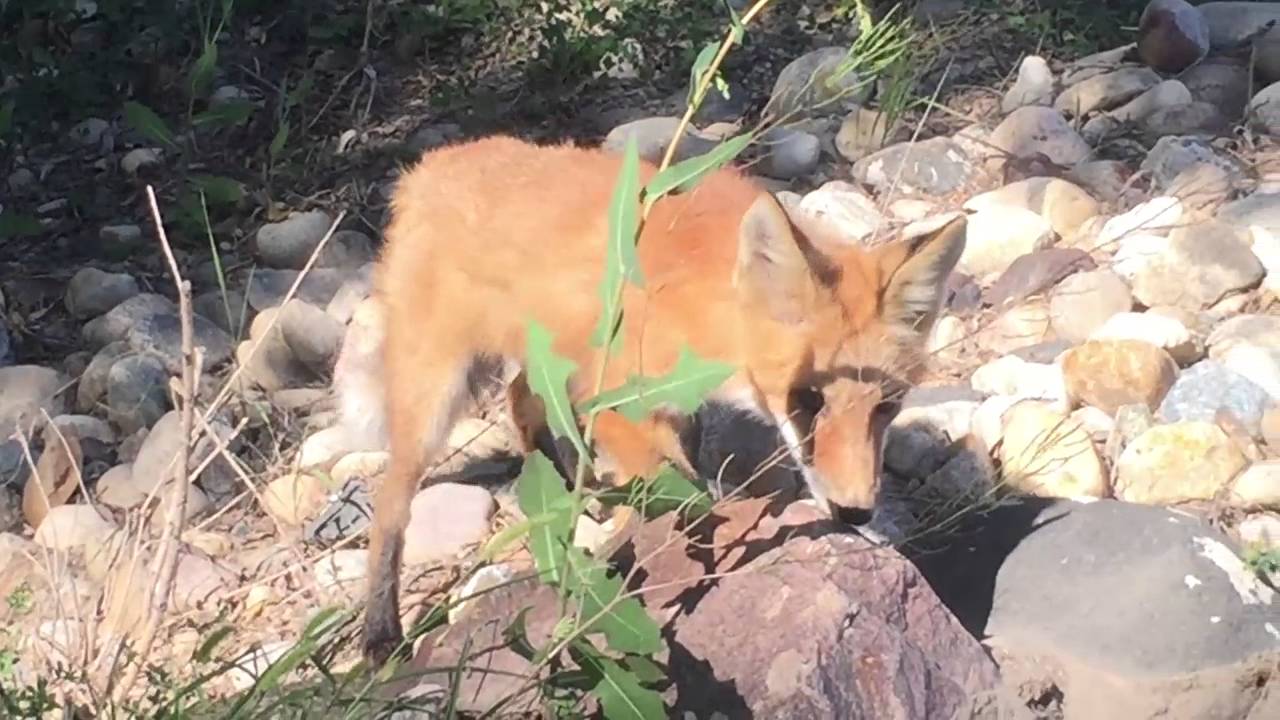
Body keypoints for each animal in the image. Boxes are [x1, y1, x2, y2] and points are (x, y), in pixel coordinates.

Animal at [353, 133, 967, 667]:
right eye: (808, 400)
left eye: (886, 407)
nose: (855, 512)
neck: (703, 304)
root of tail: (432, 164)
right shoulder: (613, 402)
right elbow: (679, 493)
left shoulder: (663, 406)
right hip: (434, 396)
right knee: (390, 503)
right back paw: (381, 633)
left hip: (544, 362)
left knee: (520, 399)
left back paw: (566, 493)